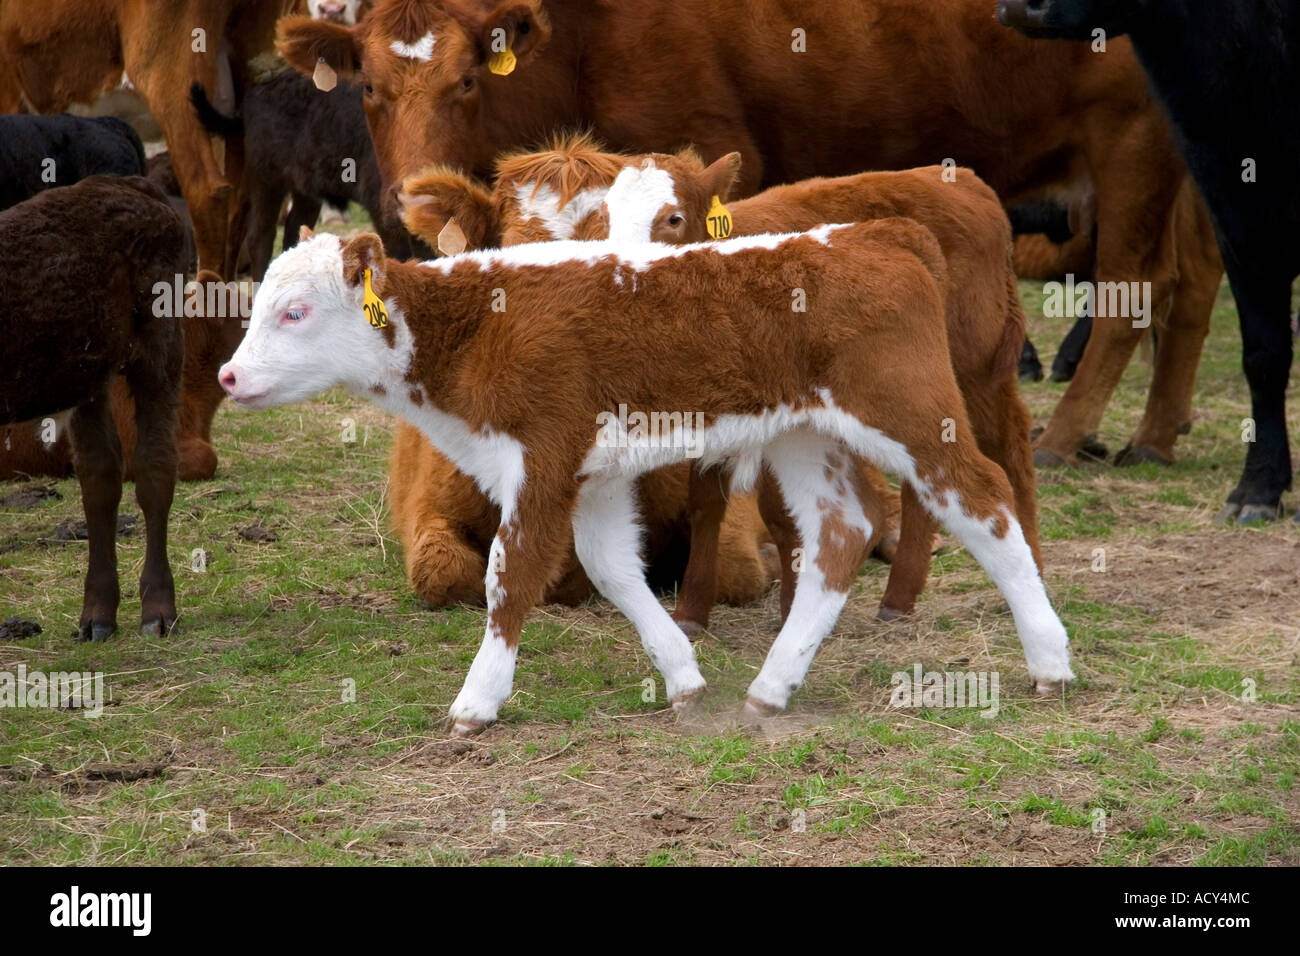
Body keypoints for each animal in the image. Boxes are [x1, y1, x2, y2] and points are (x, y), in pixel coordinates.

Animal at [219, 224, 1073, 734]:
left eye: (295, 311)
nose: (229, 375)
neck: (478, 324)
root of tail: (875, 233)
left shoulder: (542, 462)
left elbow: (509, 576)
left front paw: (477, 701)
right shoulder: (592, 478)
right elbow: (611, 570)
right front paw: (684, 677)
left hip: (913, 416)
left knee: (985, 503)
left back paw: (1050, 660)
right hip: (806, 435)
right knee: (841, 534)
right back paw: (772, 685)